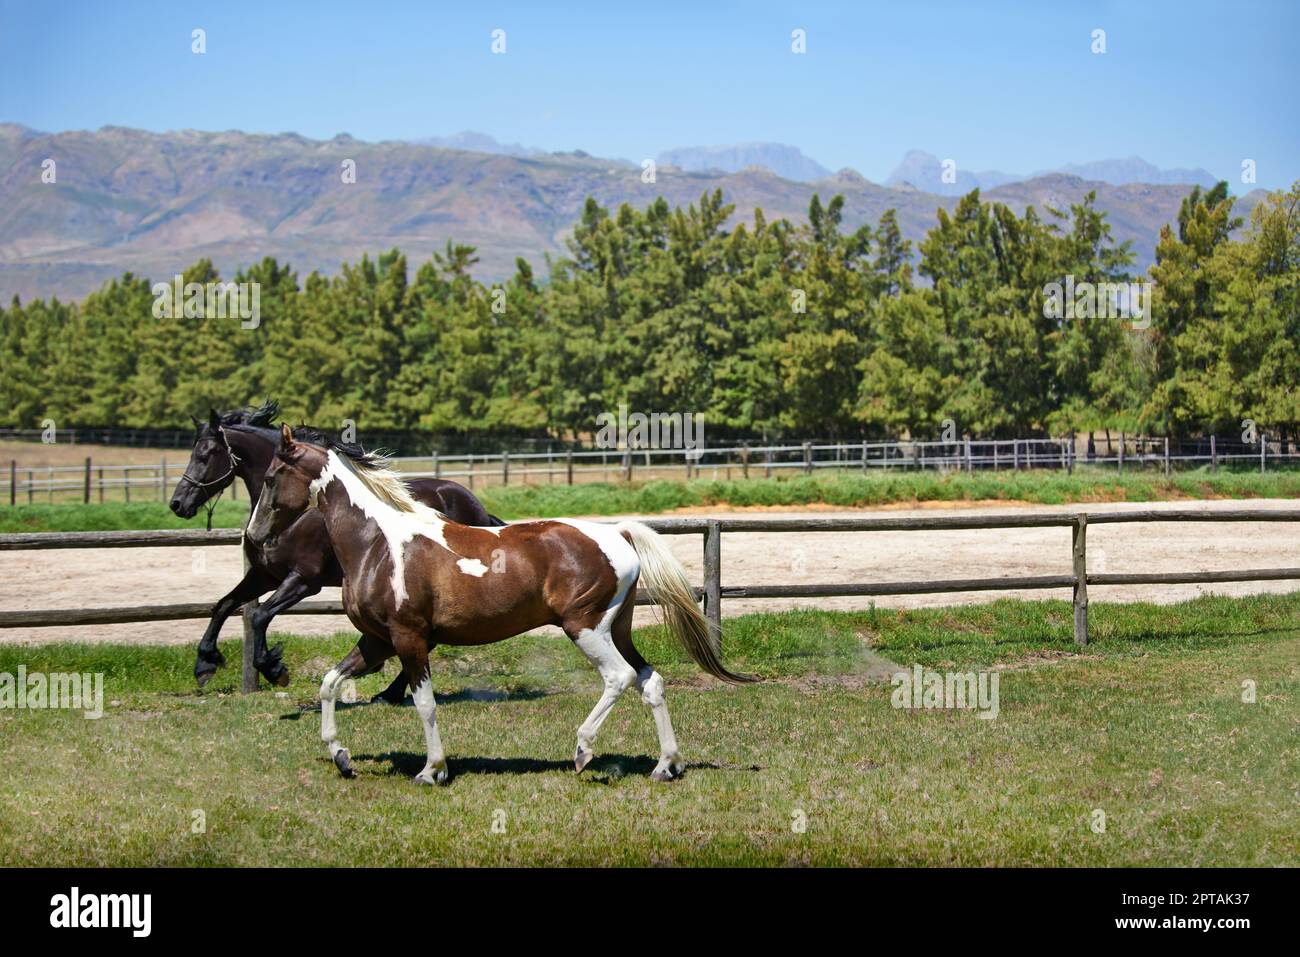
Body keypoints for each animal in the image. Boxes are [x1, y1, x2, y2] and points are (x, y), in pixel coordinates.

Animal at [169, 401, 505, 695]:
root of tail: (476, 505)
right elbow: (224, 605)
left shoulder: (304, 580)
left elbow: (259, 615)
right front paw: (204, 664)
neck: (295, 517)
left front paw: (274, 668)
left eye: (206, 454)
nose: (178, 503)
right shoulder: (264, 575)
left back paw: (390, 692)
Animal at [249, 425, 756, 784]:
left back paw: (582, 751)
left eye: (272, 477)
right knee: (651, 681)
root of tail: (617, 533)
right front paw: (341, 756)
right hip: (618, 627)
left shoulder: (409, 638)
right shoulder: (377, 641)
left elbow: (425, 703)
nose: (254, 535)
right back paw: (666, 765)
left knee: (620, 677)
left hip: (585, 627)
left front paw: (432, 770)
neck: (378, 544)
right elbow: (329, 683)